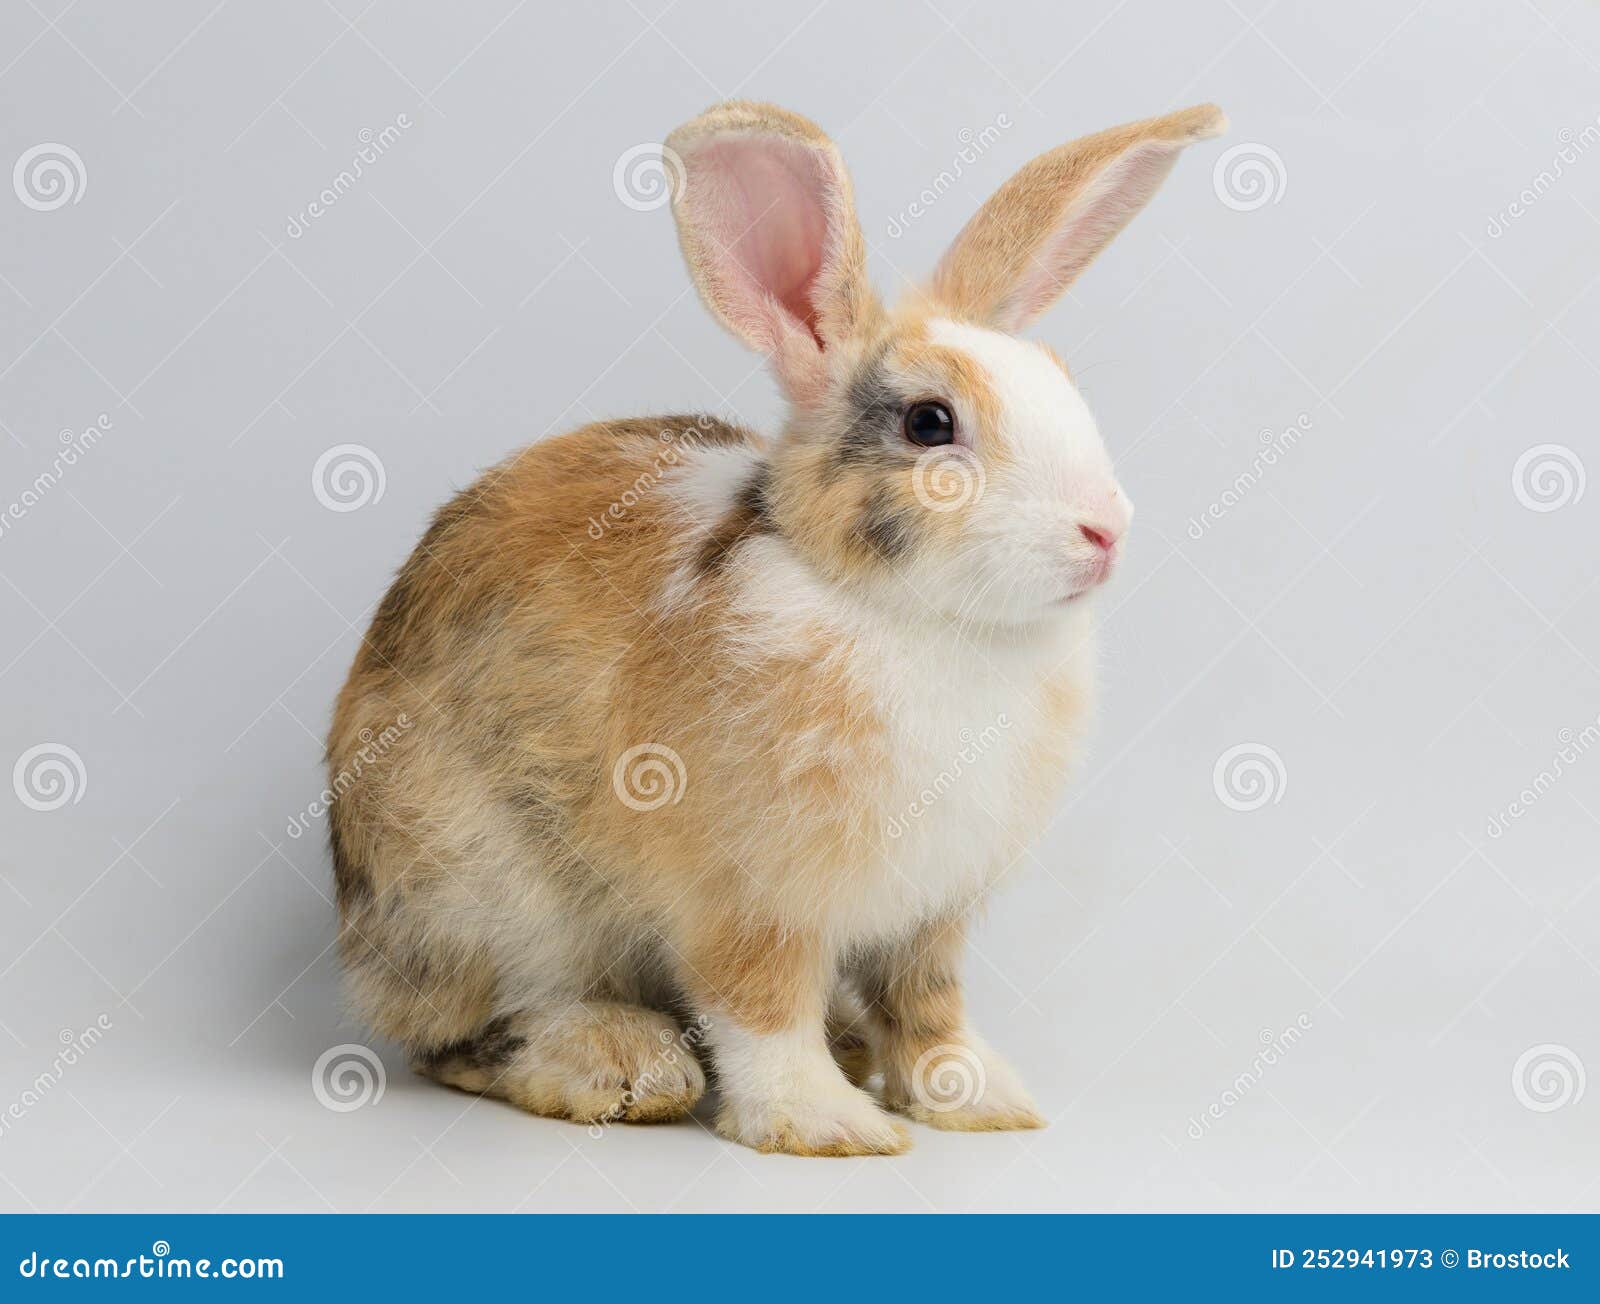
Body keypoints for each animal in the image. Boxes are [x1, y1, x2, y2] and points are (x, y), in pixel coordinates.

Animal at [326, 99, 1225, 1155]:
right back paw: (622, 1064)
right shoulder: (747, 900)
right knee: (465, 1034)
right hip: (480, 889)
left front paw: (981, 1102)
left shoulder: (932, 914)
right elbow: (760, 1010)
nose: (1106, 531)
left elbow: (929, 1008)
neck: (911, 616)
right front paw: (827, 1127)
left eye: (1063, 380)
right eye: (930, 423)